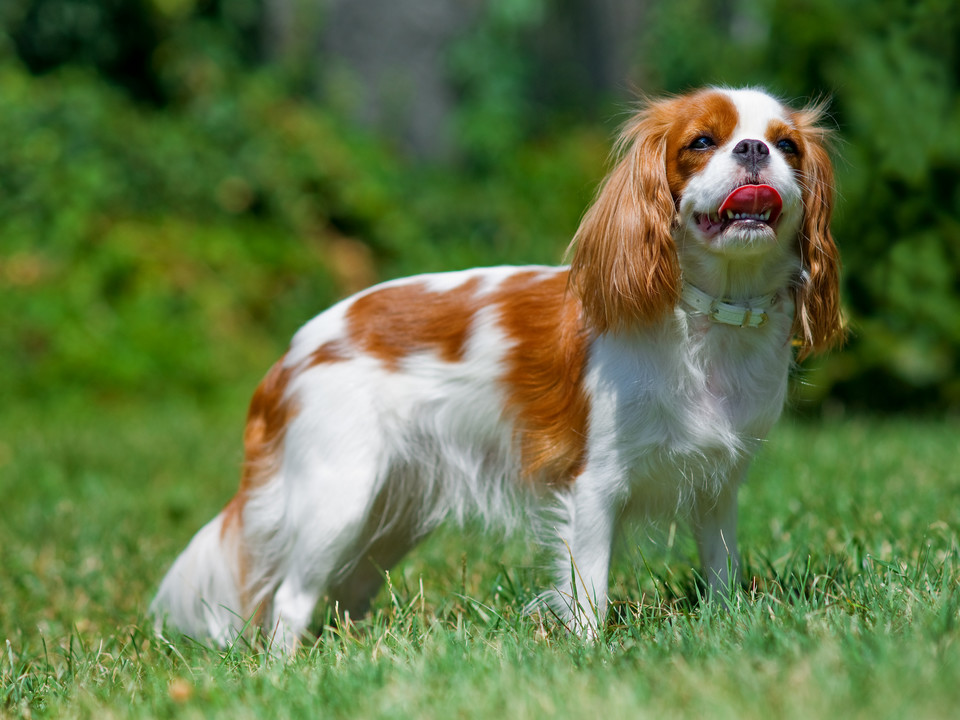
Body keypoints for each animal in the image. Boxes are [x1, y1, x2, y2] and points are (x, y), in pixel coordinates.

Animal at [150, 87, 840, 648]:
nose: (754, 148)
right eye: (701, 142)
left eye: (787, 146)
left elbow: (722, 570)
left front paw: (727, 627)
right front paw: (590, 654)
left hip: (386, 522)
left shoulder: (718, 488)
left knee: (344, 594)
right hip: (337, 499)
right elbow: (589, 590)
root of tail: (290, 355)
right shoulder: (593, 487)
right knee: (290, 600)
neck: (707, 316)